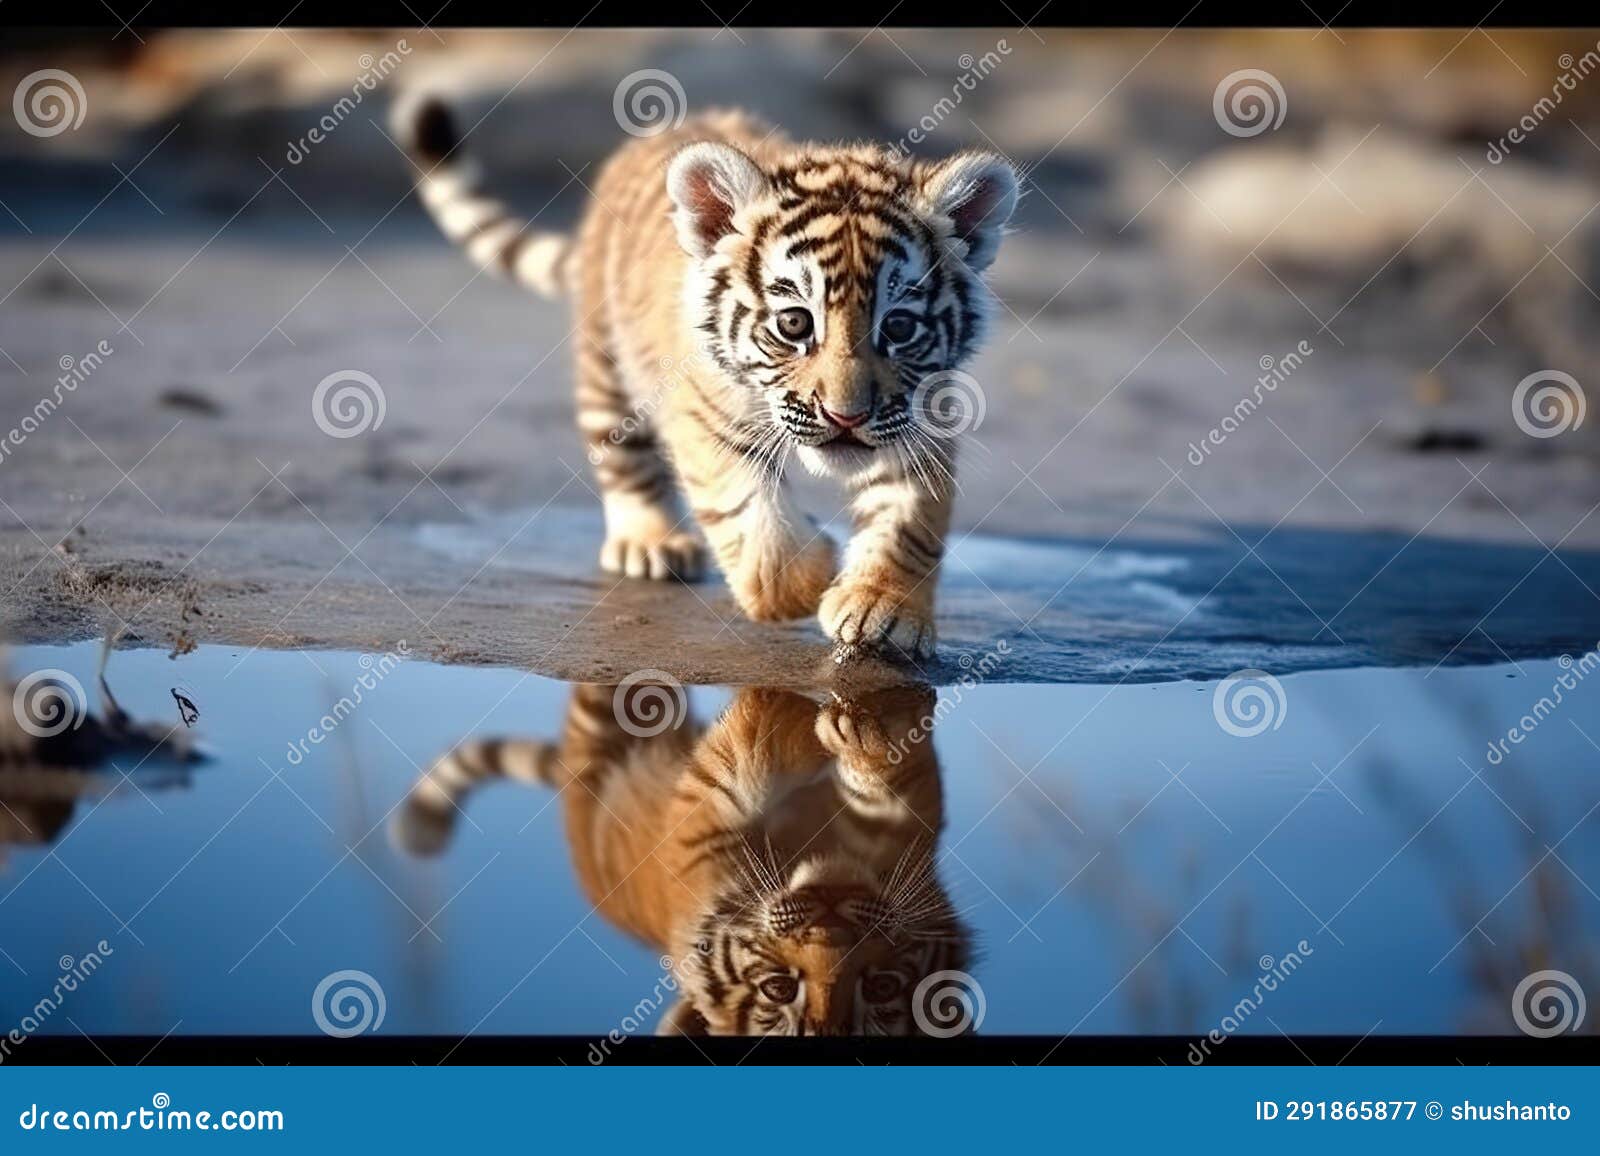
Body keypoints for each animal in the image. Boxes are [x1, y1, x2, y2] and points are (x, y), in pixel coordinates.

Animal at [396, 93, 1018, 660]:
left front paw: (881, 610)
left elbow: (908, 523)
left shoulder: (915, 421)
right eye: (795, 322)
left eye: (900, 326)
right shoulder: (703, 414)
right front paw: (812, 577)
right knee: (624, 460)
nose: (846, 417)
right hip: (606, 368)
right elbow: (752, 521)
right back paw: (651, 543)